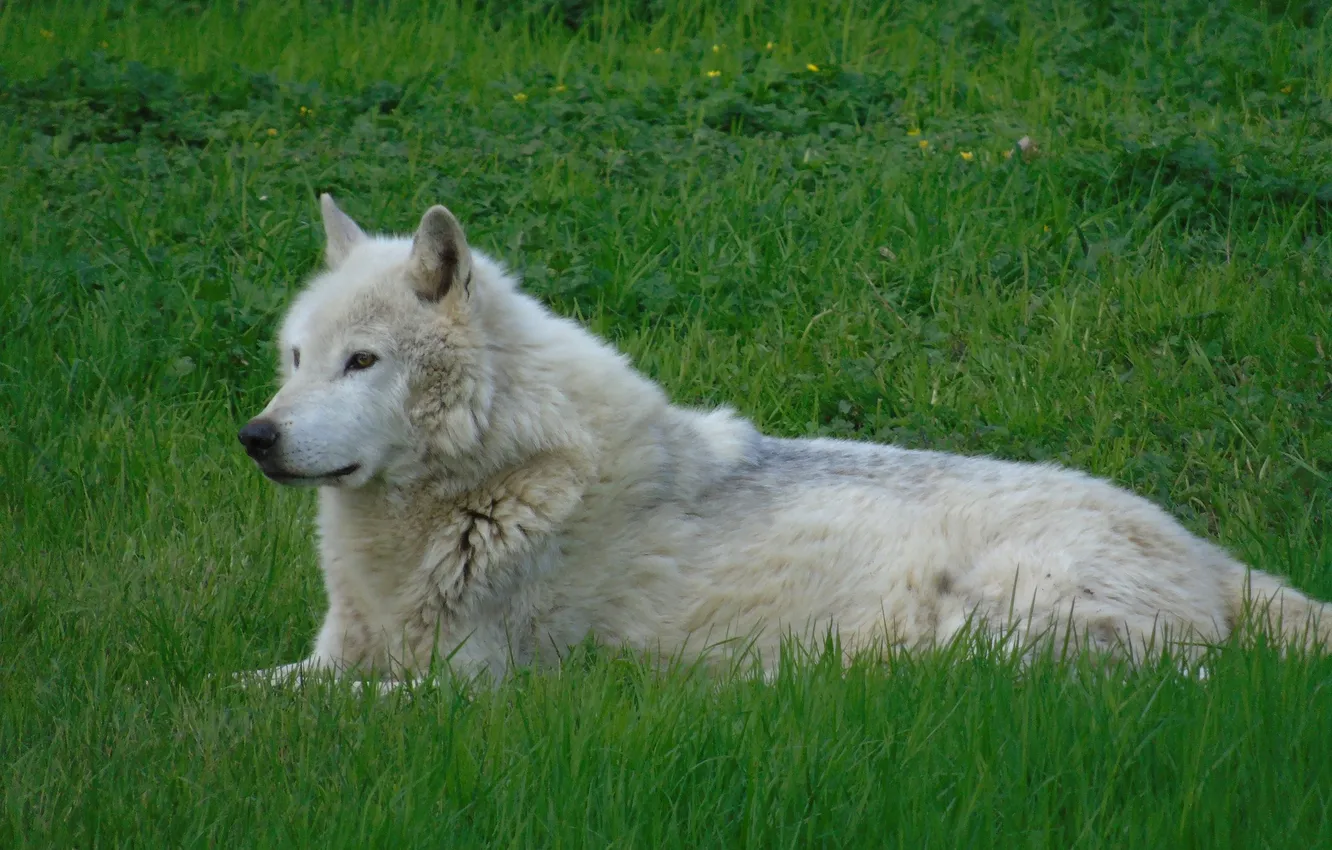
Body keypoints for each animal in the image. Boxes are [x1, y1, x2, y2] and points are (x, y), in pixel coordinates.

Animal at [236, 195, 1331, 684]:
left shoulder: (465, 687)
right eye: (294, 356)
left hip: (996, 622)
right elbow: (242, 689)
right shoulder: (338, 654)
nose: (256, 436)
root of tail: (1206, 551)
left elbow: (303, 710)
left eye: (362, 362)